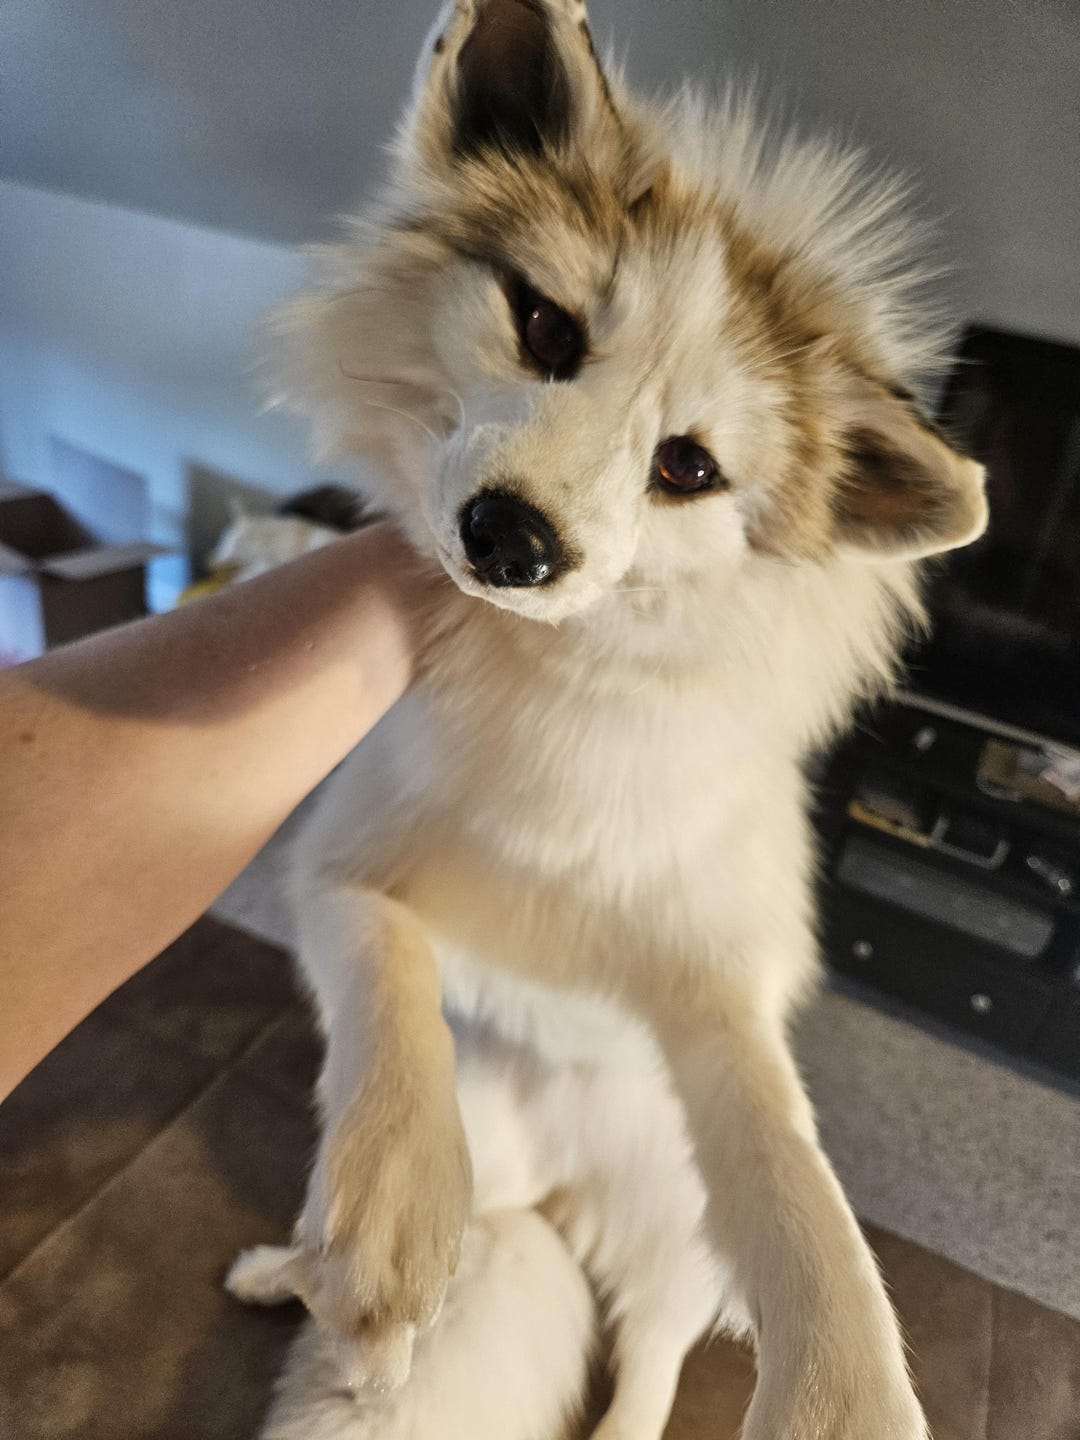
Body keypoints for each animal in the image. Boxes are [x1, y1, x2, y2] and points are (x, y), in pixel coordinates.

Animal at [226, 3, 988, 1437]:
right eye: (543, 326)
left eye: (687, 466)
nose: (510, 543)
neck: (566, 684)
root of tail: (560, 1186)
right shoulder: (335, 873)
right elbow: (390, 1011)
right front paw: (392, 1204)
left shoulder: (718, 996)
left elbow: (802, 1191)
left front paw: (849, 1386)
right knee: (362, 1252)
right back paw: (289, 1273)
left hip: (678, 1243)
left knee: (651, 1363)